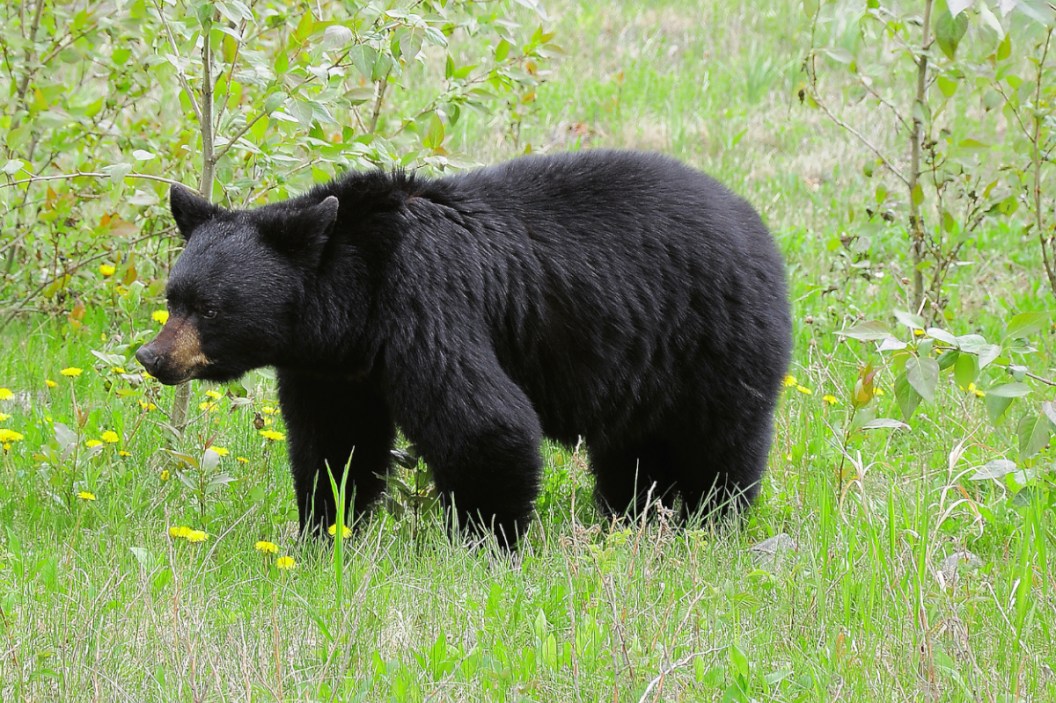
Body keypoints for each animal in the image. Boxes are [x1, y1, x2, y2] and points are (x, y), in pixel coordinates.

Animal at [136, 149, 792, 547]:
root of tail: (755, 222)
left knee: (717, 444)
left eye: (211, 307)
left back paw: (711, 522)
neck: (352, 295)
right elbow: (335, 444)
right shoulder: (333, 368)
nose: (153, 357)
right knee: (632, 451)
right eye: (174, 297)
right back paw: (631, 516)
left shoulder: (425, 299)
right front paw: (323, 533)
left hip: (711, 339)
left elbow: (483, 422)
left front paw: (488, 543)